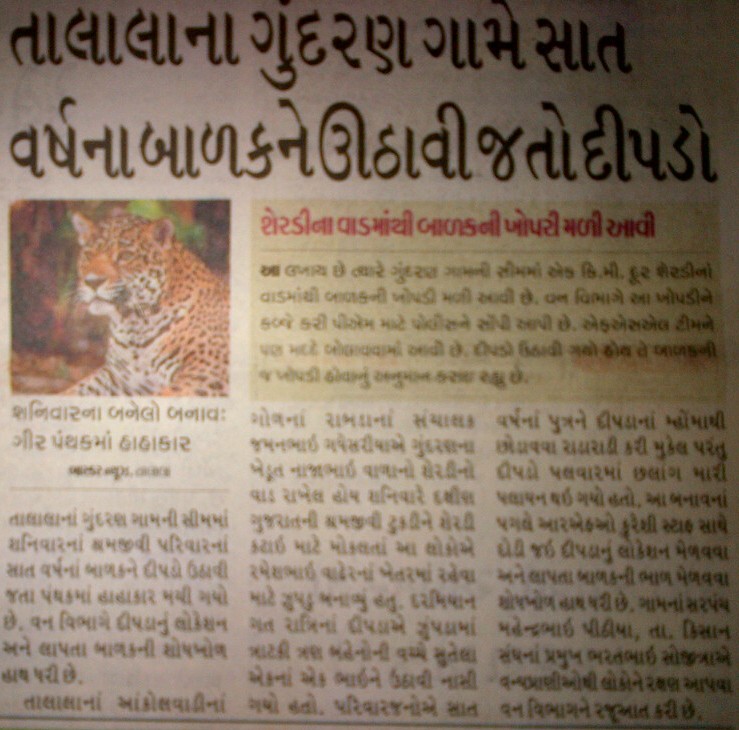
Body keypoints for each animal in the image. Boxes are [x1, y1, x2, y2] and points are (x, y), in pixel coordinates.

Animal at [65, 210, 229, 396]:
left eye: (126, 256)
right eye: (89, 255)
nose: (92, 282)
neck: (133, 325)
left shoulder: (206, 374)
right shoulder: (120, 376)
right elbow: (74, 390)